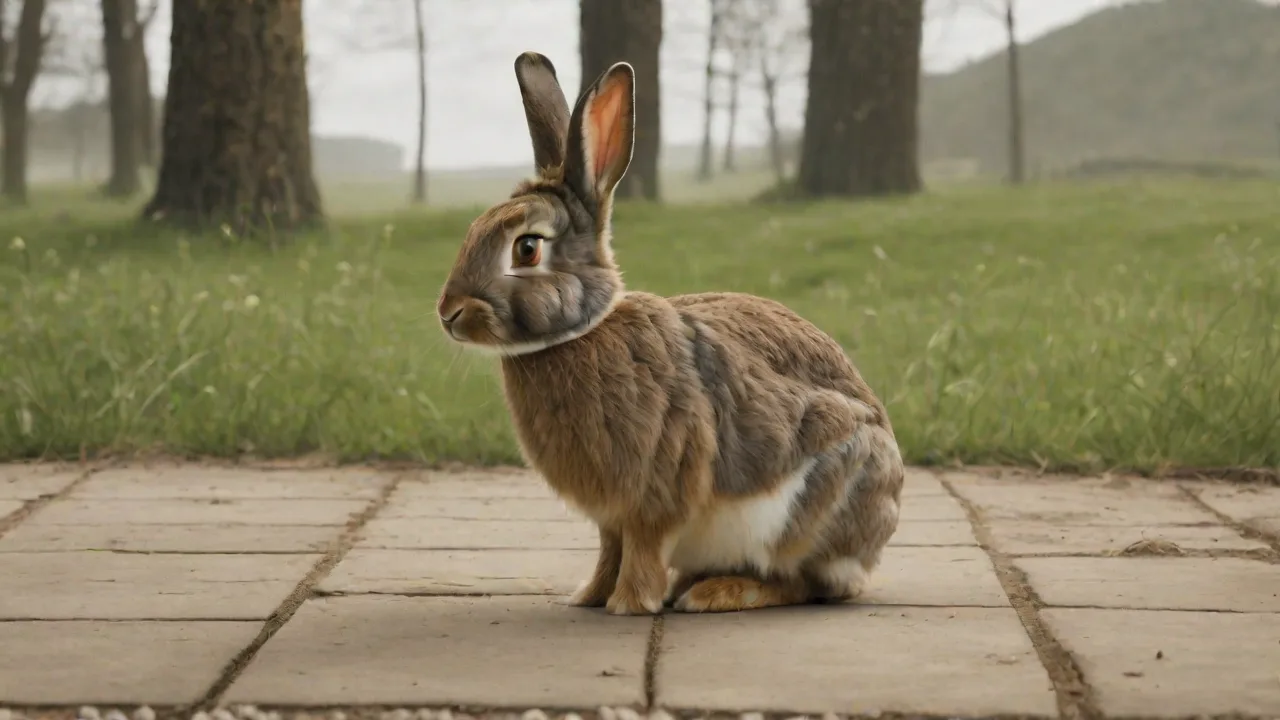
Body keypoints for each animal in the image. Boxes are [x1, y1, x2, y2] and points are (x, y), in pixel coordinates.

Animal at [435, 51, 905, 615]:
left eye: (527, 248)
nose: (449, 313)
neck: (579, 335)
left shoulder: (656, 491)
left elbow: (642, 548)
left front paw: (629, 605)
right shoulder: (611, 517)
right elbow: (609, 551)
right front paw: (588, 597)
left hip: (807, 512)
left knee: (805, 583)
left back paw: (717, 592)